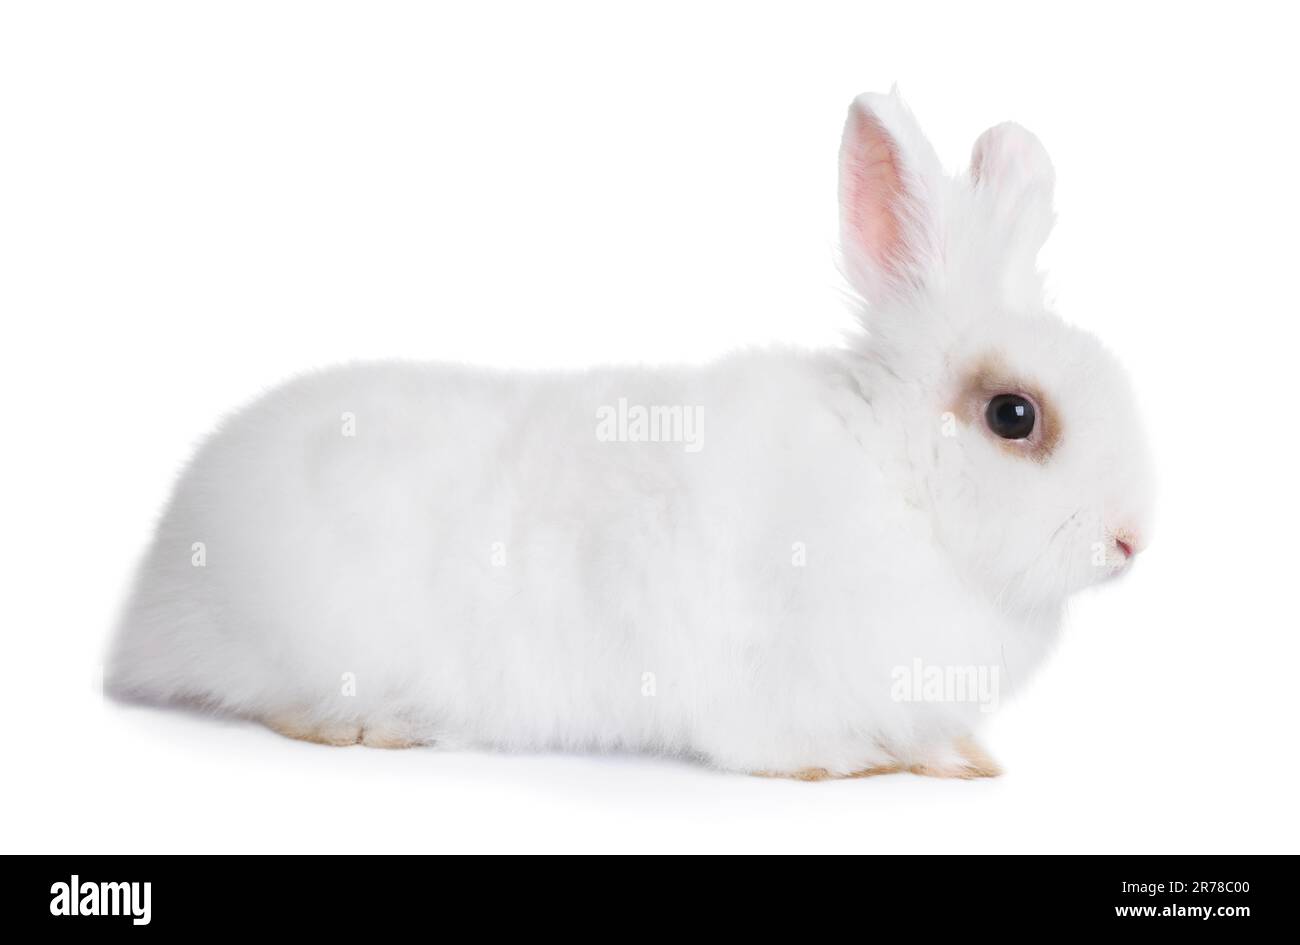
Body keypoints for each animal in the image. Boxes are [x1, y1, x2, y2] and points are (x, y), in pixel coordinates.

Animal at [106, 89, 1153, 779]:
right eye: (1013, 415)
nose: (1132, 540)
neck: (903, 487)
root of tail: (157, 590)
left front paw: (968, 756)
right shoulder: (774, 689)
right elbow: (795, 749)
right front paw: (879, 764)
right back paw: (377, 730)